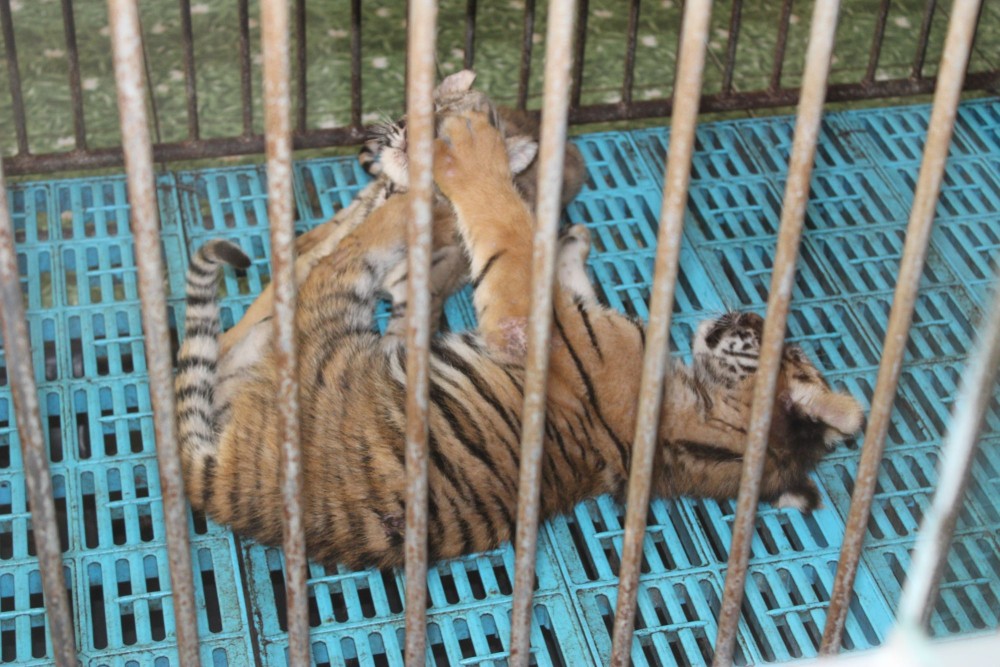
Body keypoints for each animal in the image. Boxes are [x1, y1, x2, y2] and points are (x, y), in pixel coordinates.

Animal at [175, 110, 864, 570]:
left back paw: (399, 199)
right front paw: (574, 240)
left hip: (330, 324)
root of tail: (219, 484)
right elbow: (558, 264)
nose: (745, 310)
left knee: (335, 265)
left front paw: (470, 147)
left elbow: (504, 221)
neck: (690, 426)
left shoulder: (526, 317)